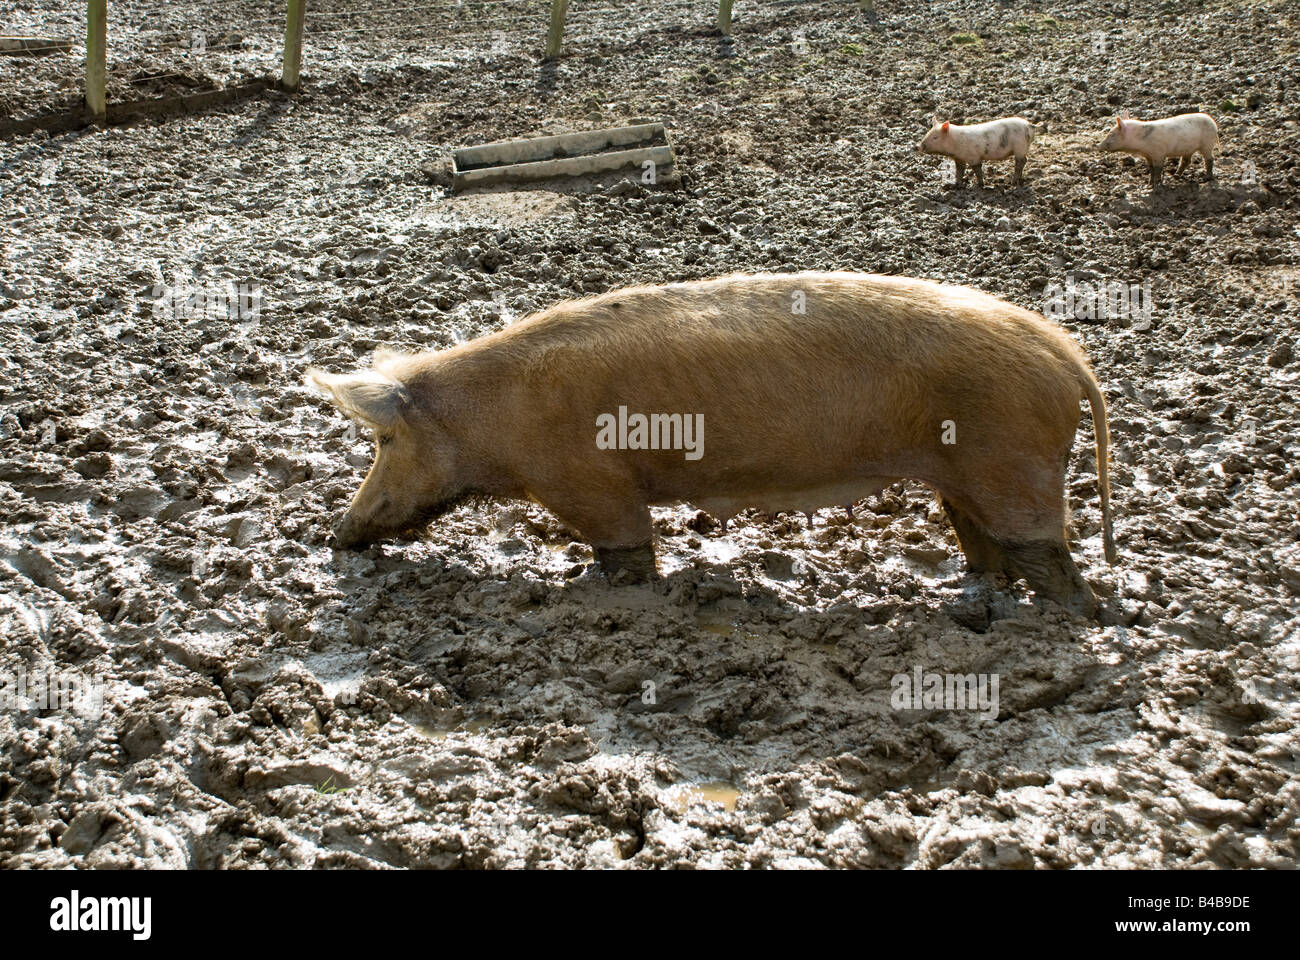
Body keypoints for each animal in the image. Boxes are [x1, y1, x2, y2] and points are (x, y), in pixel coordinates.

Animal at [305, 272, 1117, 616]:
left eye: (382, 439)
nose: (333, 537)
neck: (493, 423)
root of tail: (1065, 352)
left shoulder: (588, 485)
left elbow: (627, 550)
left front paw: (605, 593)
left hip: (1012, 457)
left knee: (1045, 547)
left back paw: (1088, 617)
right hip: (962, 474)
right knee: (985, 542)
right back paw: (976, 594)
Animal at [917, 117, 1046, 187]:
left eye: (935, 137)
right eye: (927, 133)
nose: (919, 146)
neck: (955, 142)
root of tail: (1030, 125)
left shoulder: (974, 157)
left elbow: (977, 170)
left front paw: (980, 184)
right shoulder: (959, 158)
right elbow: (959, 171)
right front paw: (957, 185)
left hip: (1020, 147)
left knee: (1021, 162)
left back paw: (1013, 182)